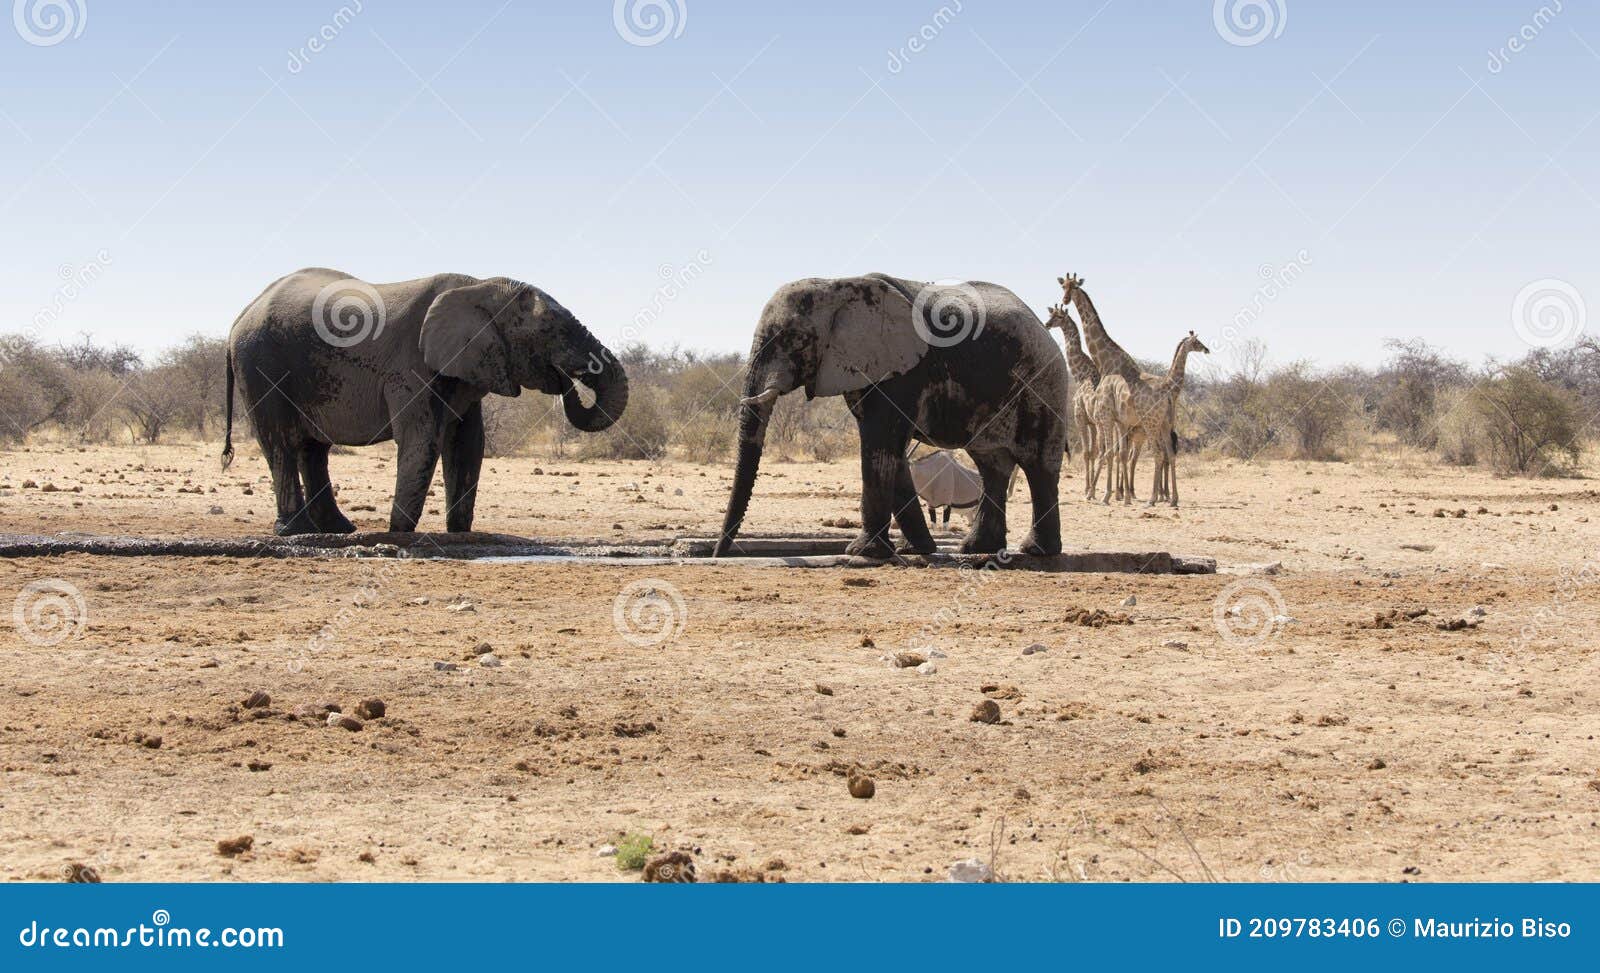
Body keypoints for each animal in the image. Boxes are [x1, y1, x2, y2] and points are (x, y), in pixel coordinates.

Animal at [222, 268, 628, 536]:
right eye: (549, 331)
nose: (566, 381)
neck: (478, 287)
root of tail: (241, 314)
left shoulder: (466, 370)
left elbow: (468, 444)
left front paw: (459, 533)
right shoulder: (411, 367)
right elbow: (423, 440)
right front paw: (400, 534)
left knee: (313, 448)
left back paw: (337, 531)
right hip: (260, 363)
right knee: (281, 443)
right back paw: (294, 532)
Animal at [713, 274, 1070, 560]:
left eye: (793, 339)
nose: (718, 554)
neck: (836, 284)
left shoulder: (902, 371)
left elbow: (880, 443)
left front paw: (862, 552)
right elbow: (892, 451)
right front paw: (914, 550)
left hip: (1043, 383)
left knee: (1037, 464)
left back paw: (1037, 551)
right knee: (991, 463)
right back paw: (976, 548)